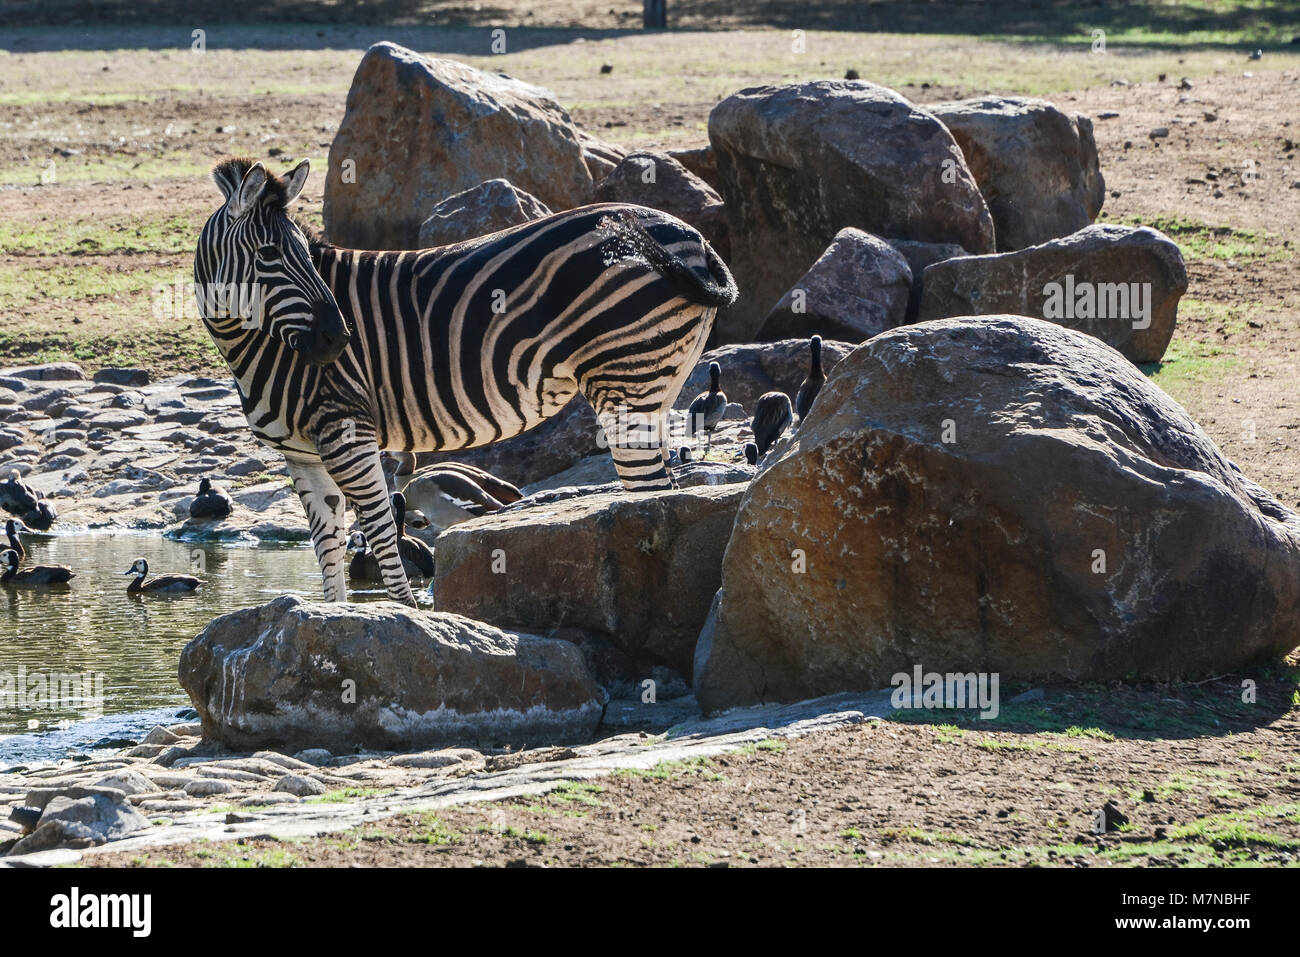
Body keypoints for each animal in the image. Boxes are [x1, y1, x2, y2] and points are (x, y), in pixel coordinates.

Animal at [194, 157, 737, 606]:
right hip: (657, 382)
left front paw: (406, 617)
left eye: (305, 255)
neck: (254, 343)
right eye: (269, 254)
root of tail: (693, 236)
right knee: (664, 496)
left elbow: (382, 534)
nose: (338, 340)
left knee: (649, 499)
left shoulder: (346, 429)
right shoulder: (303, 453)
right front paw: (332, 619)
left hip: (627, 381)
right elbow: (327, 549)